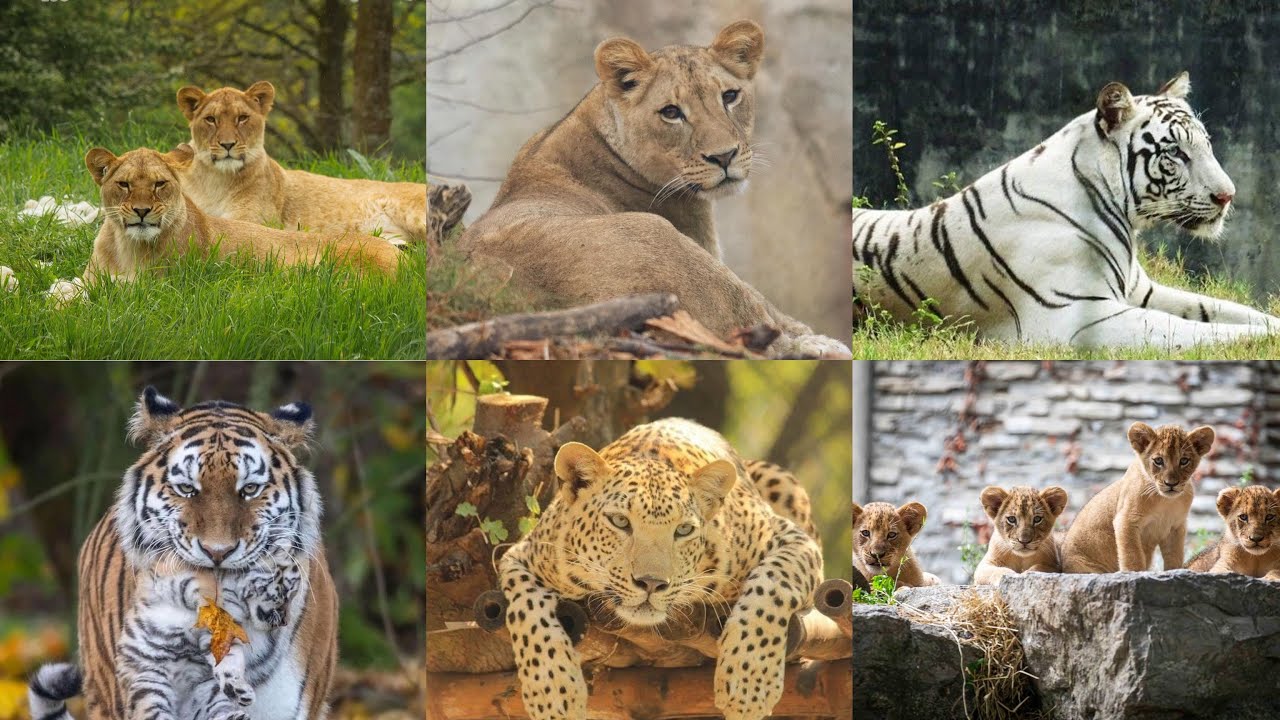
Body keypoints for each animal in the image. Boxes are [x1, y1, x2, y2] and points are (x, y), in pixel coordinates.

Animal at [455, 20, 850, 359]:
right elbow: (762, 302)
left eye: (730, 96)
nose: (724, 156)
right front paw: (812, 337)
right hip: (659, 240)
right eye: (671, 112)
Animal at [852, 72, 1280, 349]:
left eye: (1206, 144)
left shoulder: (1142, 292)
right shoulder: (1078, 317)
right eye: (1175, 152)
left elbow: (1233, 311)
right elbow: (1195, 332)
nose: (1228, 196)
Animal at [1061, 422, 1215, 573]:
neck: (1164, 501)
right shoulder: (1126, 520)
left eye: (1184, 461)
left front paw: (1175, 572)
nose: (1171, 484)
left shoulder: (1175, 527)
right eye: (1158, 461)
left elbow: (1174, 557)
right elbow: (1132, 555)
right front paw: (1134, 573)